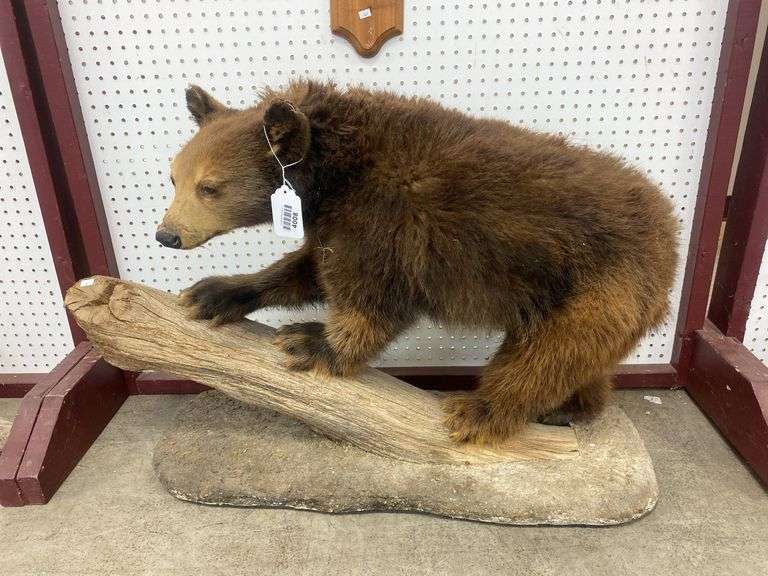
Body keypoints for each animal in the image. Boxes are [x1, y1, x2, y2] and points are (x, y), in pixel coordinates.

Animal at [156, 80, 678, 446]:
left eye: (210, 186)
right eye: (174, 177)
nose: (166, 235)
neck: (334, 172)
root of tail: (669, 229)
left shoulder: (386, 223)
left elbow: (371, 298)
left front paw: (312, 341)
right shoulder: (332, 224)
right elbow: (307, 269)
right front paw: (216, 293)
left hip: (602, 282)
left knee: (552, 352)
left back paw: (481, 410)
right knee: (582, 358)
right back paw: (572, 407)